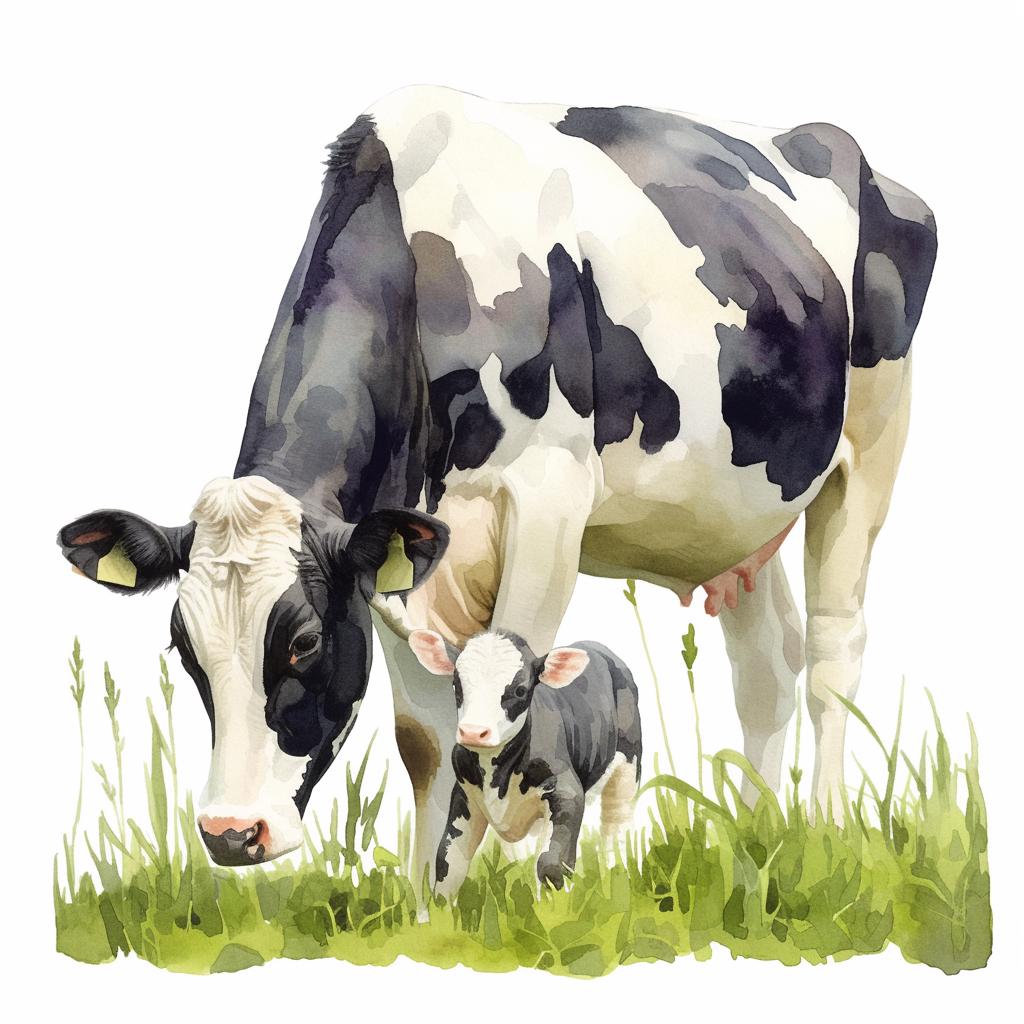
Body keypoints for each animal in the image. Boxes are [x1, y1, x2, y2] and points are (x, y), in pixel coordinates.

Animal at [407, 629, 641, 896]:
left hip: (627, 768)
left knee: (616, 827)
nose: (473, 731)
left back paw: (617, 878)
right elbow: (448, 863)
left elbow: (550, 863)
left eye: (519, 690)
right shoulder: (464, 794)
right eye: (456, 684)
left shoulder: (566, 790)